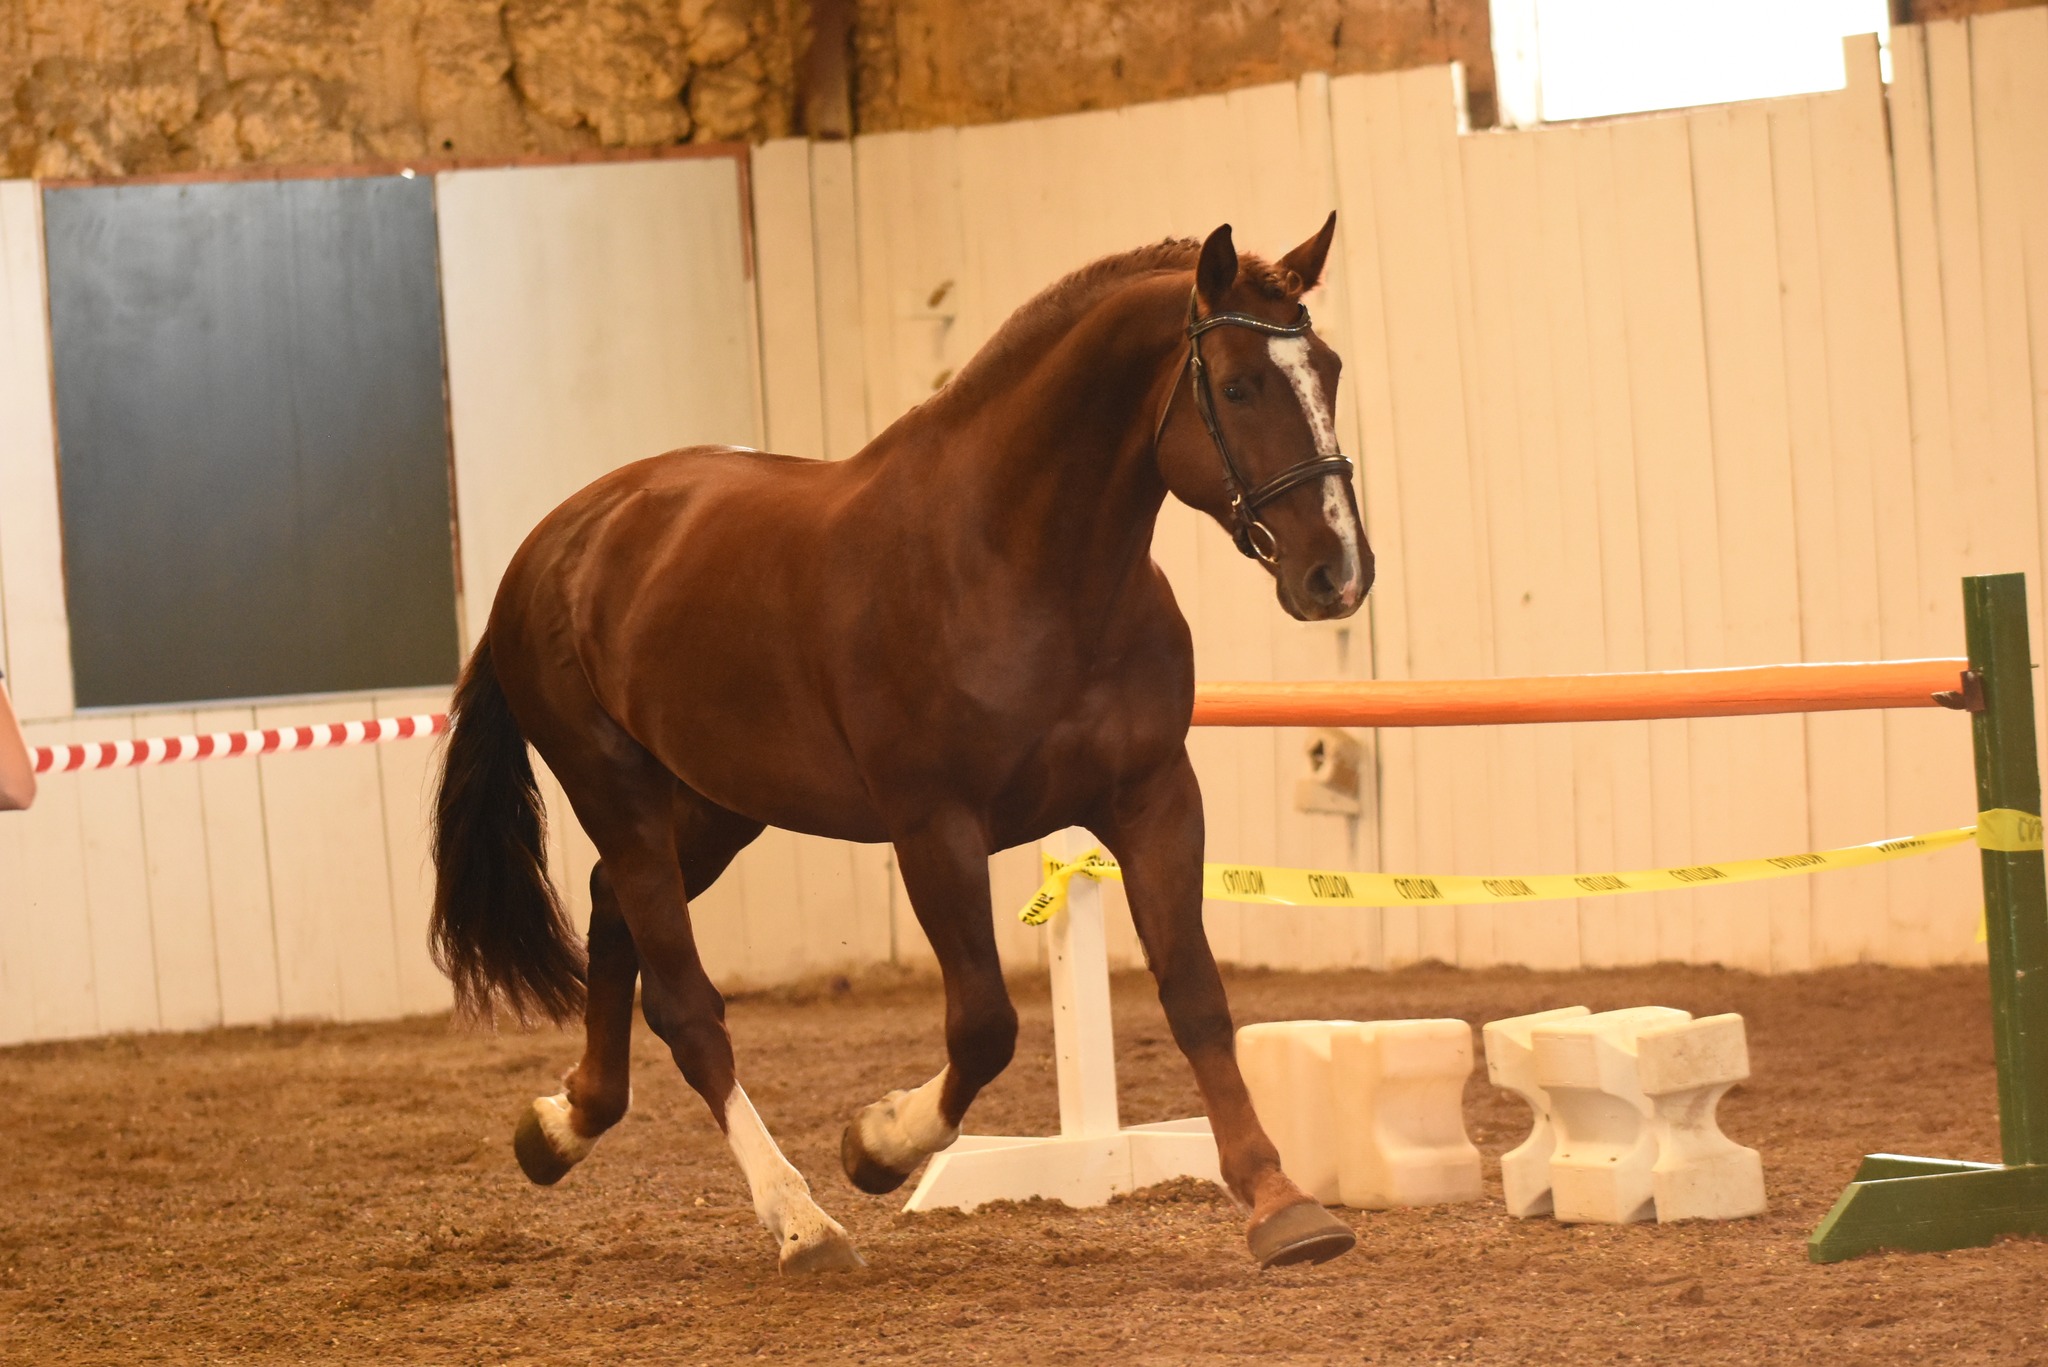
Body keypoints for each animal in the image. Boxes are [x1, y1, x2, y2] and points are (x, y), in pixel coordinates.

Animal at [429, 214, 1374, 1273]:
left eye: (1327, 370)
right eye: (1241, 385)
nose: (1338, 571)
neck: (1019, 564)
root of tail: (552, 541)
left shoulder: (1155, 797)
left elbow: (1197, 995)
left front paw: (1283, 1202)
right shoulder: (935, 828)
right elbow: (986, 1024)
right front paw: (877, 1145)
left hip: (719, 804)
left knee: (610, 914)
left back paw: (564, 1124)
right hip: (617, 791)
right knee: (685, 1003)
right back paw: (799, 1218)